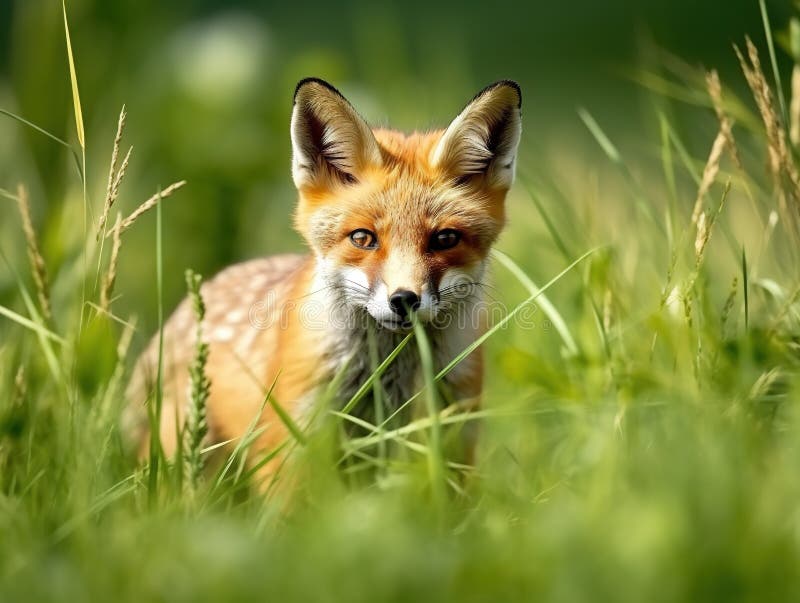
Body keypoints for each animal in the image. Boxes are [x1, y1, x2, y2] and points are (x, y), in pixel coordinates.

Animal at [126, 77, 522, 486]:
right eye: (362, 238)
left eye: (445, 239)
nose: (404, 299)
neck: (385, 382)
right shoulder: (289, 448)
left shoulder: (455, 438)